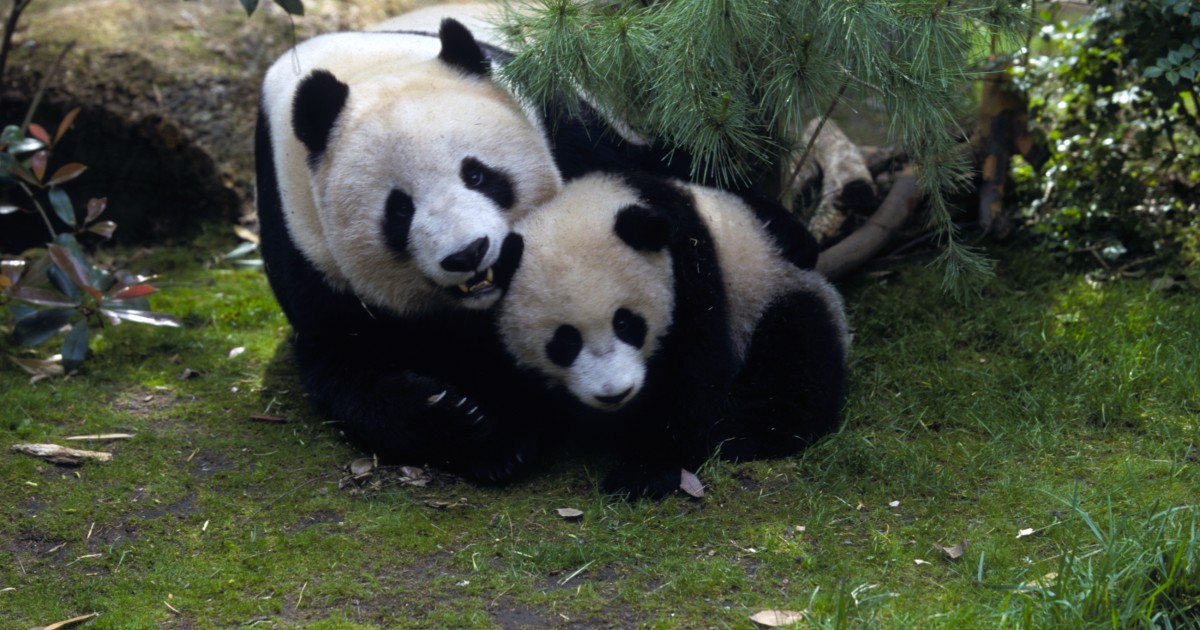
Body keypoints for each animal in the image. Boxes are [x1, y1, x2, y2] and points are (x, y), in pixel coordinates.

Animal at [255, 19, 564, 483]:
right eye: (399, 209)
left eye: (477, 175)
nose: (468, 254)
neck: (369, 68)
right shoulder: (302, 242)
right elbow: (345, 362)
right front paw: (462, 421)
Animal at [493, 171, 849, 499]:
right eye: (565, 342)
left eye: (625, 323)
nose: (614, 394)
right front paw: (509, 451)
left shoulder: (689, 265)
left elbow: (691, 369)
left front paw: (645, 470)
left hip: (768, 289)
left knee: (797, 352)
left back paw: (747, 433)